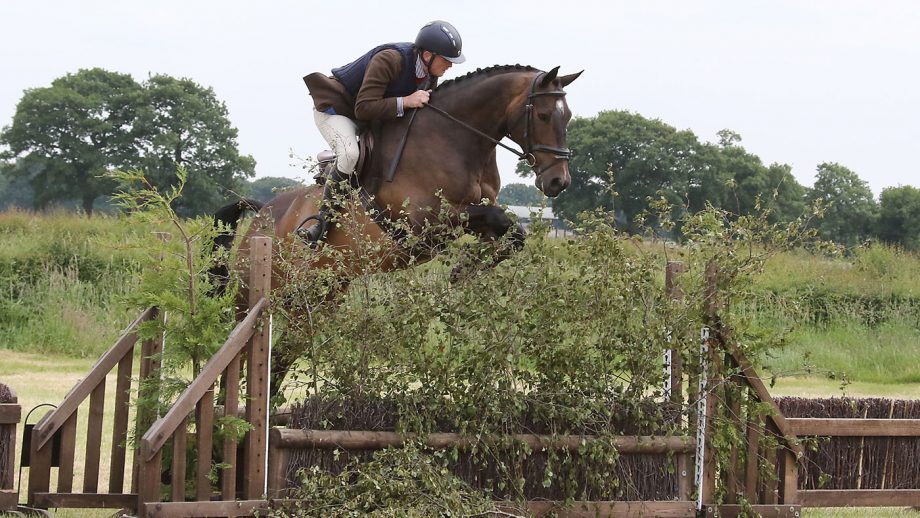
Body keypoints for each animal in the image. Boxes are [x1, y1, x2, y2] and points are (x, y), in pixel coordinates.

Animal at [213, 64, 582, 394]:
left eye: (568, 117)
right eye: (544, 116)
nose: (558, 182)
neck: (455, 140)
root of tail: (262, 214)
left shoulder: (469, 221)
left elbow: (512, 232)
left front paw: (465, 269)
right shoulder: (421, 225)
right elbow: (495, 218)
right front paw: (462, 269)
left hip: (320, 298)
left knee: (280, 359)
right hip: (253, 299)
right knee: (237, 360)